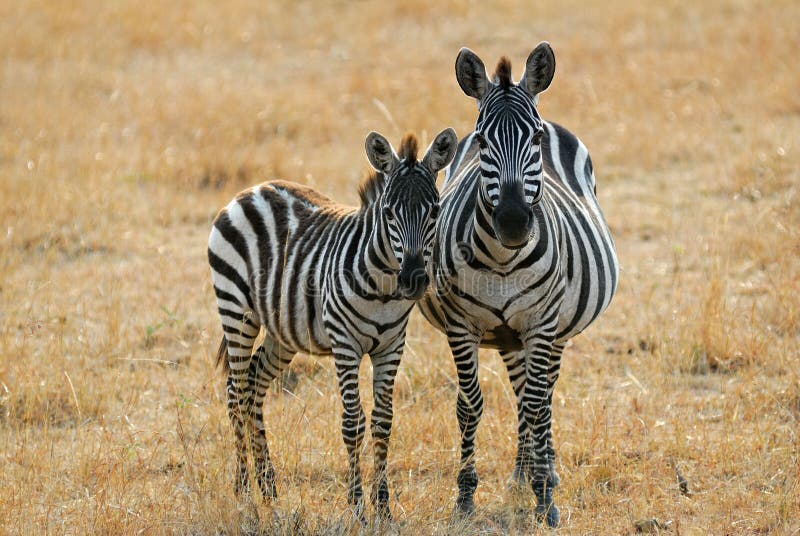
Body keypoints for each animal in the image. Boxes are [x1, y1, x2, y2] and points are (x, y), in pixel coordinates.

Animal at [207, 128, 457, 518]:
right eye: (389, 212)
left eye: (435, 211)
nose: (414, 280)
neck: (383, 286)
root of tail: (253, 189)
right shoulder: (345, 345)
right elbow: (353, 423)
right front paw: (356, 505)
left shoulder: (391, 347)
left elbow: (383, 422)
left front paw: (382, 506)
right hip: (236, 309)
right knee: (236, 390)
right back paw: (243, 488)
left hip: (283, 330)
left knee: (254, 383)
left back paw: (268, 486)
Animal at [418, 43, 618, 527]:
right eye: (483, 141)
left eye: (536, 140)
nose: (511, 222)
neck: (503, 260)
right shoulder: (461, 326)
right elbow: (469, 405)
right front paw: (465, 496)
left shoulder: (542, 324)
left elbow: (538, 403)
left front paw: (546, 497)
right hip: (510, 337)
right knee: (523, 388)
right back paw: (520, 474)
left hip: (553, 330)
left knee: (541, 395)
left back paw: (541, 472)